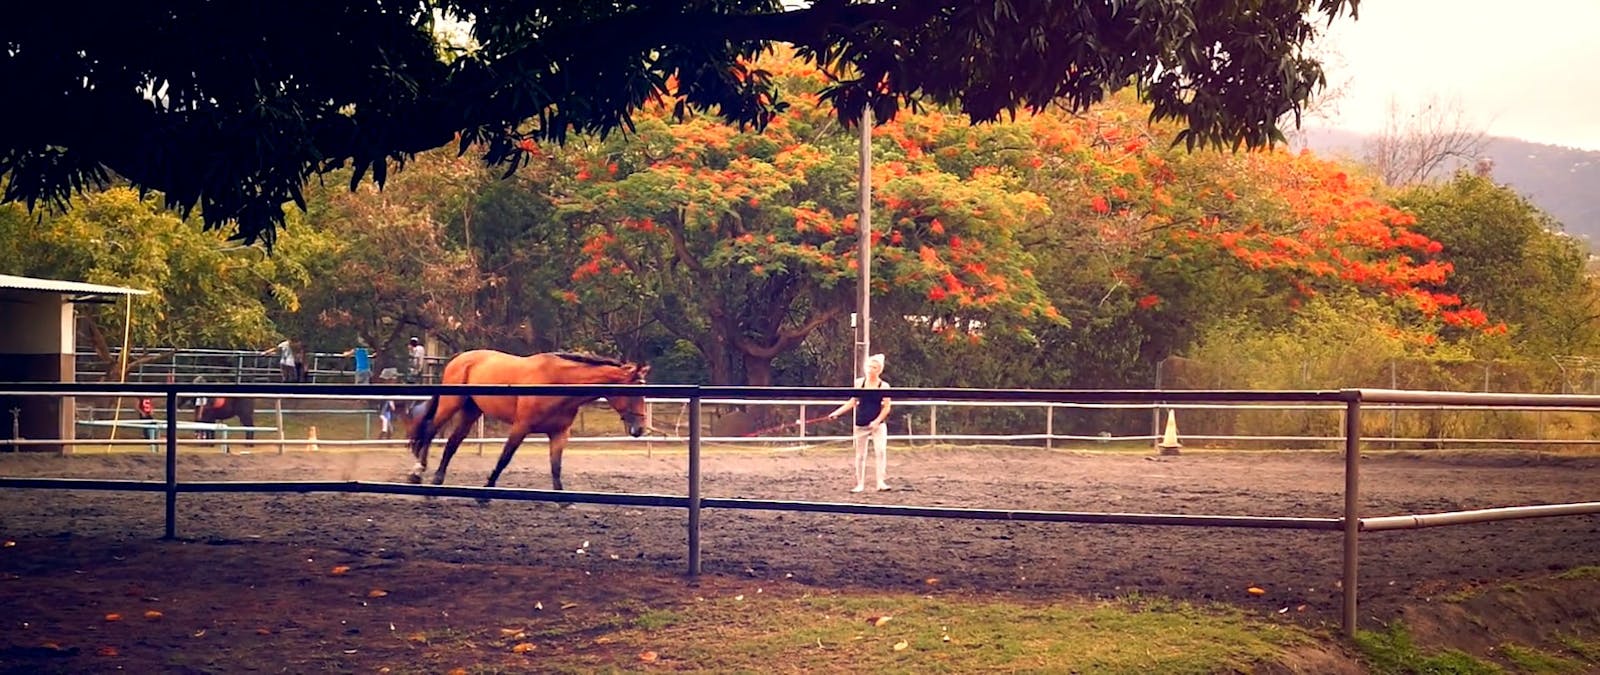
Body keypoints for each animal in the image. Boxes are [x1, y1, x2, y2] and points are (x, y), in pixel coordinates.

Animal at [406, 350, 650, 491]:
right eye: (634, 392)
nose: (639, 428)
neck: (558, 383)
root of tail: (459, 359)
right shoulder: (520, 427)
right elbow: (504, 458)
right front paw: (488, 488)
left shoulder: (559, 433)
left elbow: (556, 467)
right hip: (451, 404)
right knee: (430, 431)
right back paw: (417, 472)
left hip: (471, 411)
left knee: (452, 443)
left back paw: (437, 478)